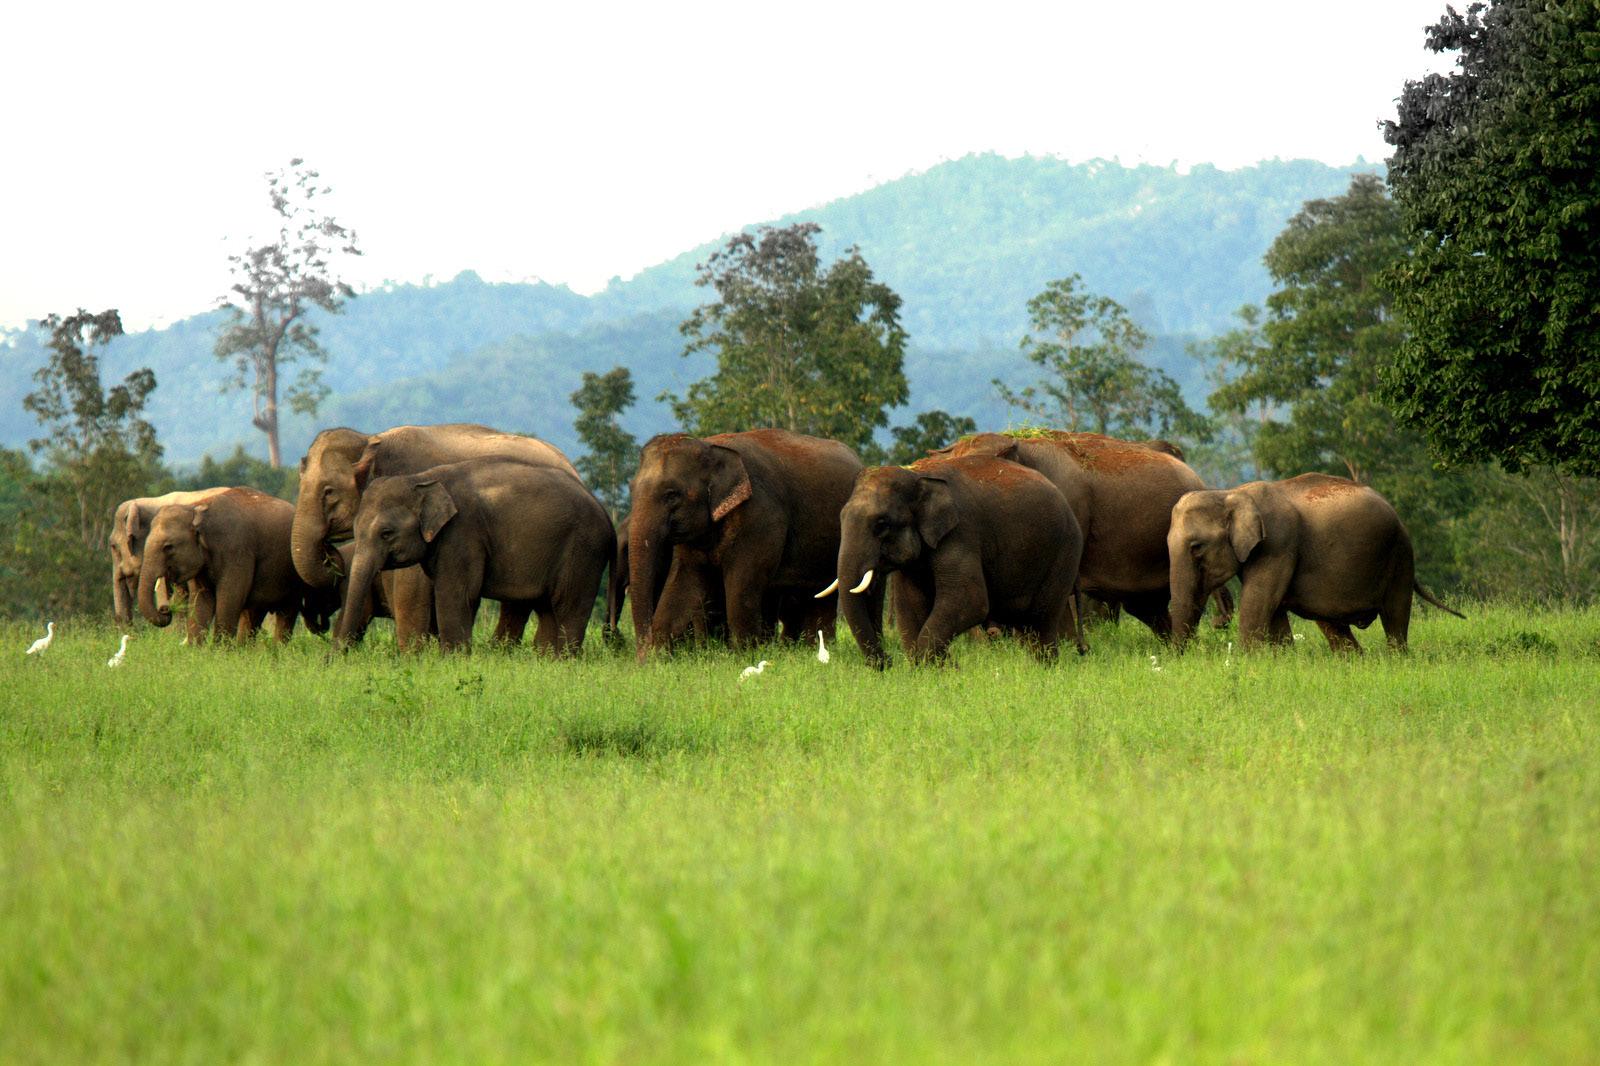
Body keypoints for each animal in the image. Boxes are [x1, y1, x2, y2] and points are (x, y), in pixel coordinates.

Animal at [137, 488, 306, 643]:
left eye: (168, 547)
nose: (165, 609)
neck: (197, 509)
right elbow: (201, 598)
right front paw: (196, 649)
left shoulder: (237, 550)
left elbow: (229, 597)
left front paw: (221, 650)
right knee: (253, 614)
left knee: (286, 612)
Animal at [335, 459, 613, 654]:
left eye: (386, 533)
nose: (332, 659)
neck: (423, 479)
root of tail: (604, 511)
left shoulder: (462, 534)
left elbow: (457, 594)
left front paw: (453, 660)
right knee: (548, 611)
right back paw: (546, 662)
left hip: (583, 552)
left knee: (569, 608)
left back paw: (564, 660)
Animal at [627, 430, 860, 657]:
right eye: (631, 489)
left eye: (672, 495)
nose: (642, 656)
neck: (709, 445)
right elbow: (683, 582)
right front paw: (658, 660)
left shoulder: (759, 516)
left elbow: (742, 583)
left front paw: (743, 656)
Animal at [823, 455, 1085, 666]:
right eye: (841, 518)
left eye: (881, 524)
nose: (887, 661)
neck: (917, 475)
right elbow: (910, 607)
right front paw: (939, 669)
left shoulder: (960, 534)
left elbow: (969, 600)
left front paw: (938, 668)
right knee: (1025, 625)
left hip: (1065, 552)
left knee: (1041, 621)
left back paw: (1046, 669)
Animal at [1167, 474, 1465, 653]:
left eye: (1196, 547)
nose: (1218, 621)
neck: (1229, 493)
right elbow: (1274, 612)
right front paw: (1282, 660)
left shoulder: (1278, 544)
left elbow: (1257, 604)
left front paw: (1249, 660)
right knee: (1334, 626)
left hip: (1400, 555)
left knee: (1395, 616)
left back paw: (1395, 660)